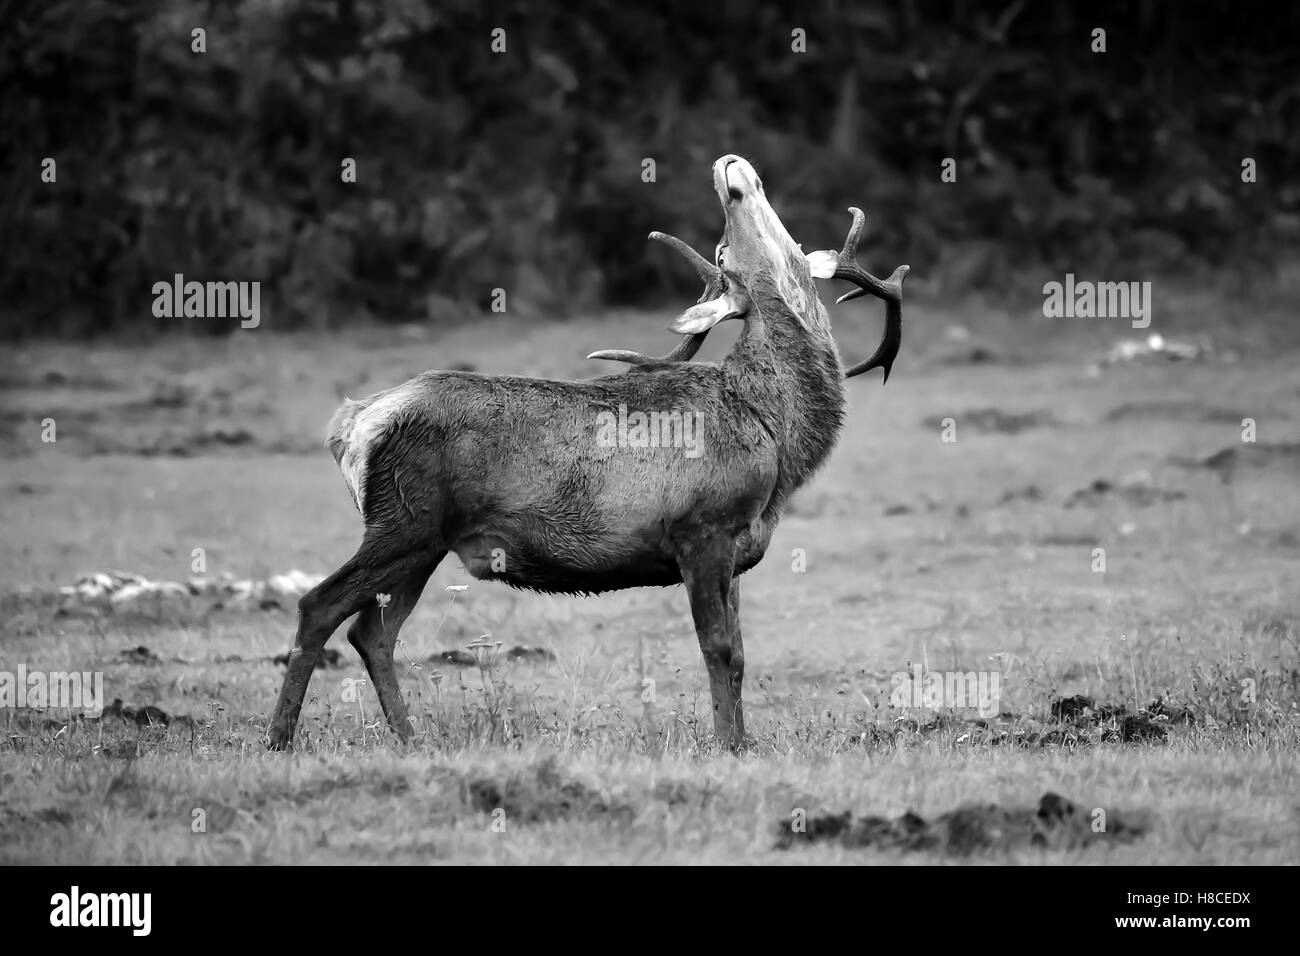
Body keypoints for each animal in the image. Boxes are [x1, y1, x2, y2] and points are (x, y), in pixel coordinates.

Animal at [267, 154, 908, 751]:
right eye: (723, 255)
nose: (733, 169)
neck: (776, 432)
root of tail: (353, 423)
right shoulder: (702, 529)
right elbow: (720, 648)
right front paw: (726, 744)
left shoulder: (734, 546)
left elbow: (744, 654)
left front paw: (744, 741)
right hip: (403, 521)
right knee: (318, 605)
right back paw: (279, 738)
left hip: (425, 540)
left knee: (372, 631)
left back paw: (409, 737)